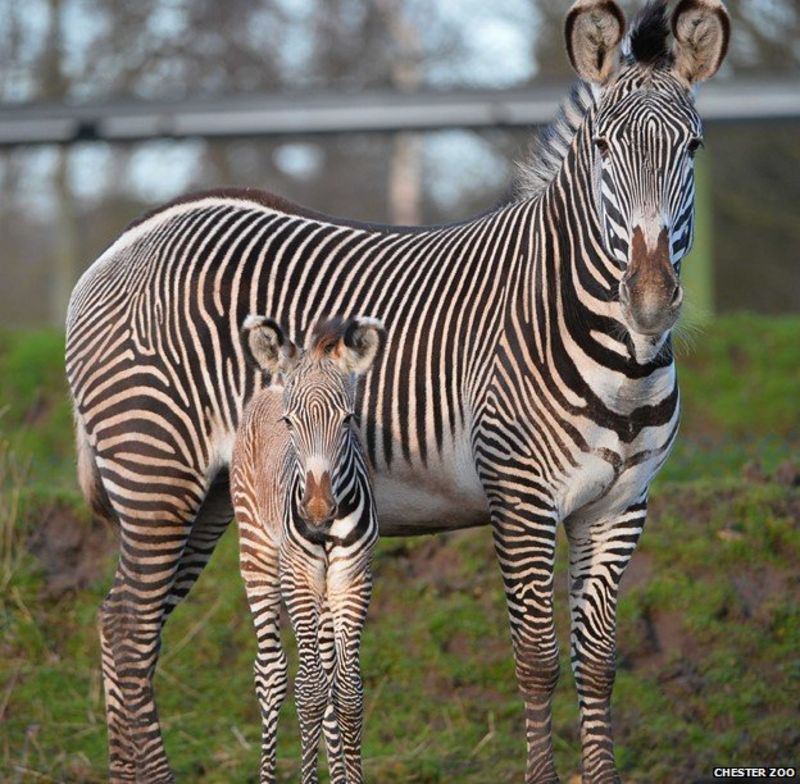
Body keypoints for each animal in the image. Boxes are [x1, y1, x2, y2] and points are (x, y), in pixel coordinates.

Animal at [231, 314, 383, 783]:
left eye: (348, 419)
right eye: (290, 422)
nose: (317, 509)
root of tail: (271, 385)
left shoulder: (353, 577)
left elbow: (345, 692)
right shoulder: (297, 577)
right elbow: (310, 692)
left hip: (326, 587)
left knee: (327, 670)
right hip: (257, 554)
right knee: (271, 673)